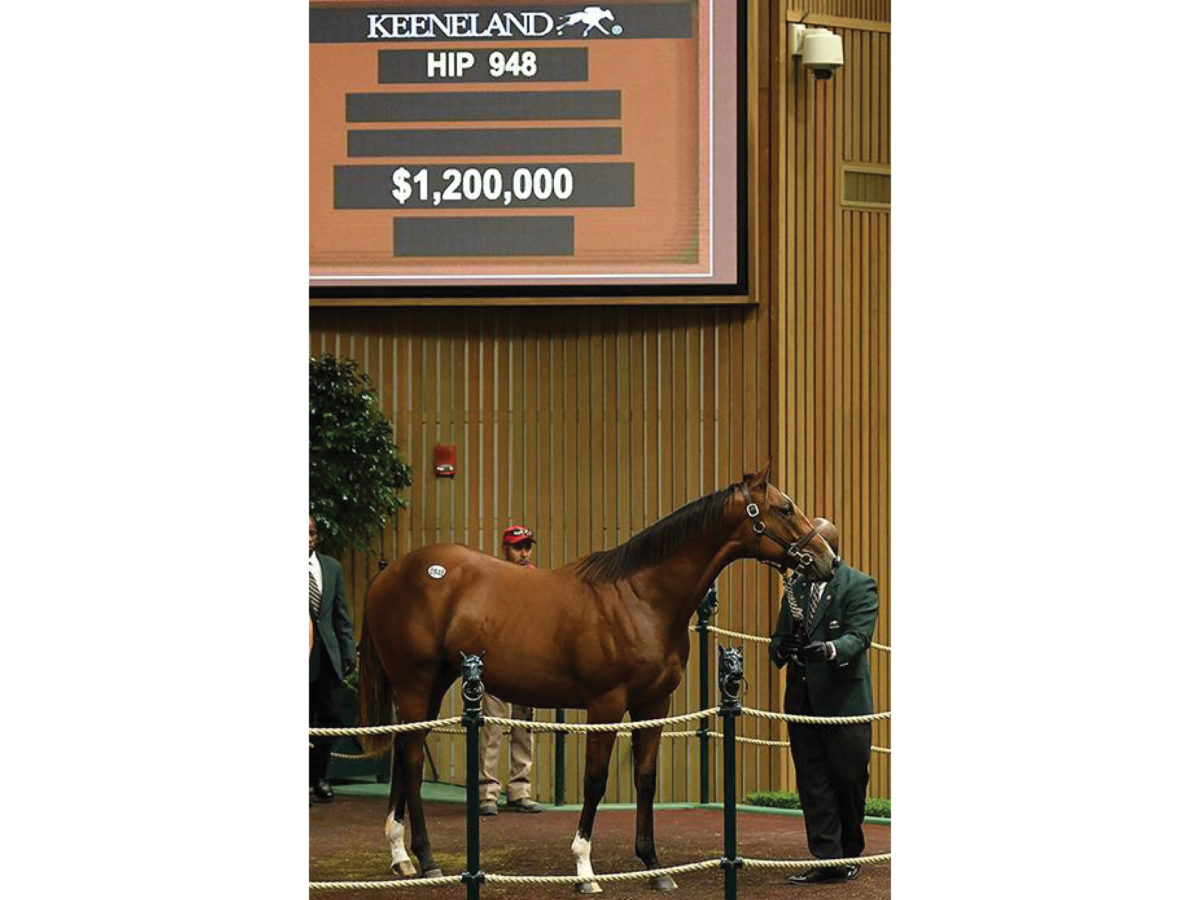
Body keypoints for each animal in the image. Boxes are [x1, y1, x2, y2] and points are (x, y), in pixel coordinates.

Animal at [357, 464, 835, 892]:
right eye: (785, 508)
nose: (828, 561)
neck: (643, 597)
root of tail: (387, 574)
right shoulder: (606, 704)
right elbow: (595, 779)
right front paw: (584, 868)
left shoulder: (652, 705)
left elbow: (646, 778)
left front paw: (654, 866)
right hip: (416, 684)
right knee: (412, 760)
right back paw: (427, 859)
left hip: (433, 685)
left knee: (403, 753)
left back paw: (400, 856)